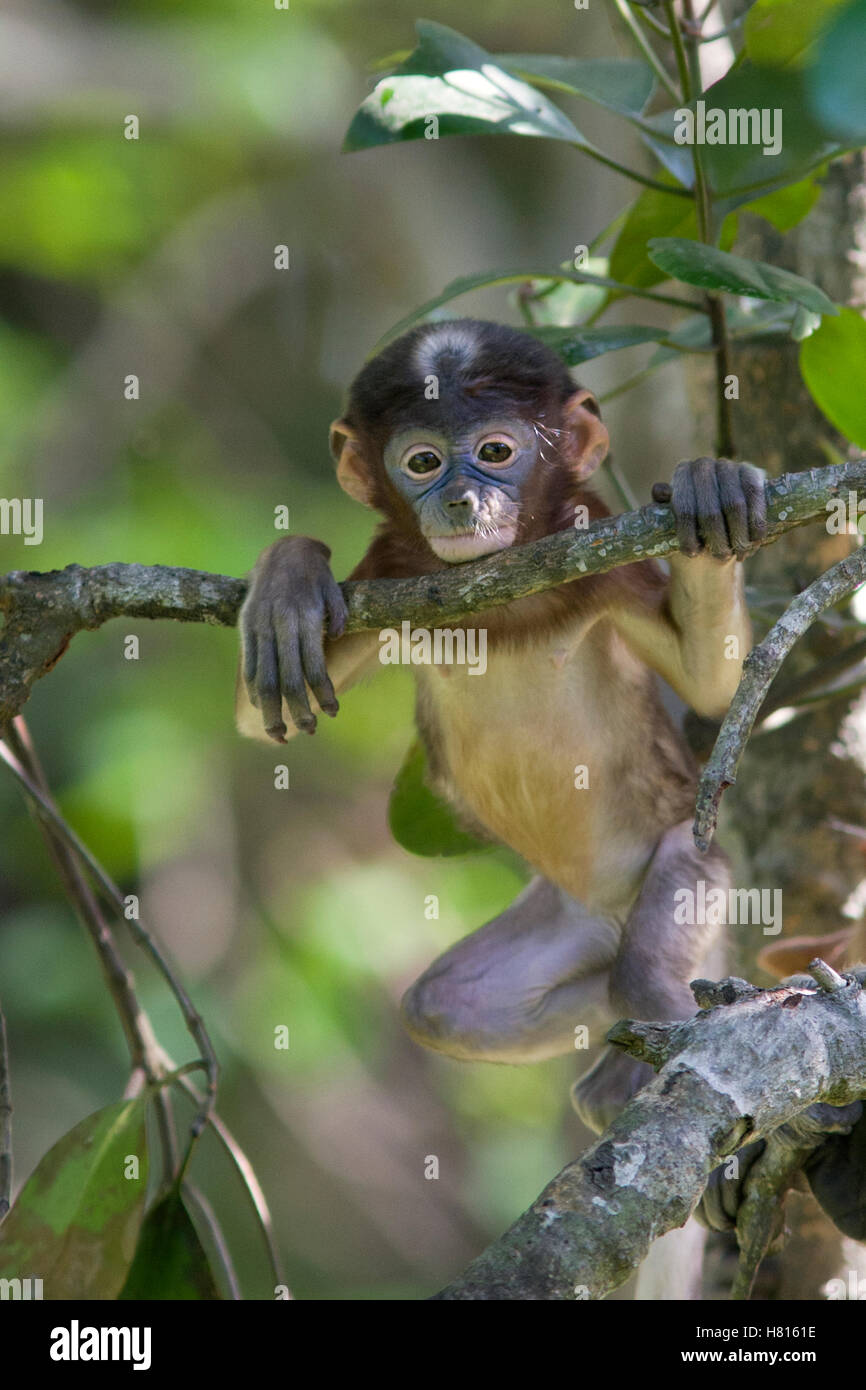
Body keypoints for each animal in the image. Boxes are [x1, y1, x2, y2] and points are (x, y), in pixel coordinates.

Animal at [236, 318, 767, 1136]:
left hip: (692, 864)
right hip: (568, 922)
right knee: (452, 1005)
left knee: (645, 973)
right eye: (422, 461)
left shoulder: (600, 557)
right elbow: (260, 724)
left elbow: (710, 681)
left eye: (495, 452)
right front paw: (287, 582)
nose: (460, 500)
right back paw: (612, 1080)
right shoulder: (388, 574)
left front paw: (709, 487)